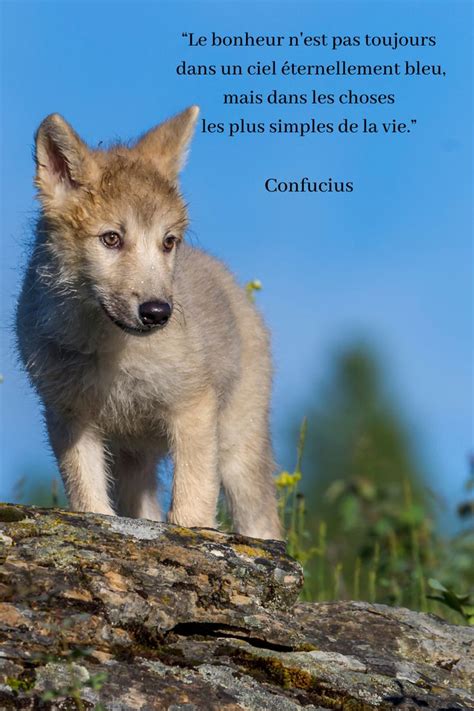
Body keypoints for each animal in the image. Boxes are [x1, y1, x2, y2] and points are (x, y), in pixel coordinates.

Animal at [16, 107, 282, 540]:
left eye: (168, 242)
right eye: (111, 239)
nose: (158, 312)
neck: (109, 350)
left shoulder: (193, 408)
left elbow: (191, 506)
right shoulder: (69, 417)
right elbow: (90, 501)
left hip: (238, 449)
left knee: (263, 525)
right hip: (133, 460)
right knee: (145, 510)